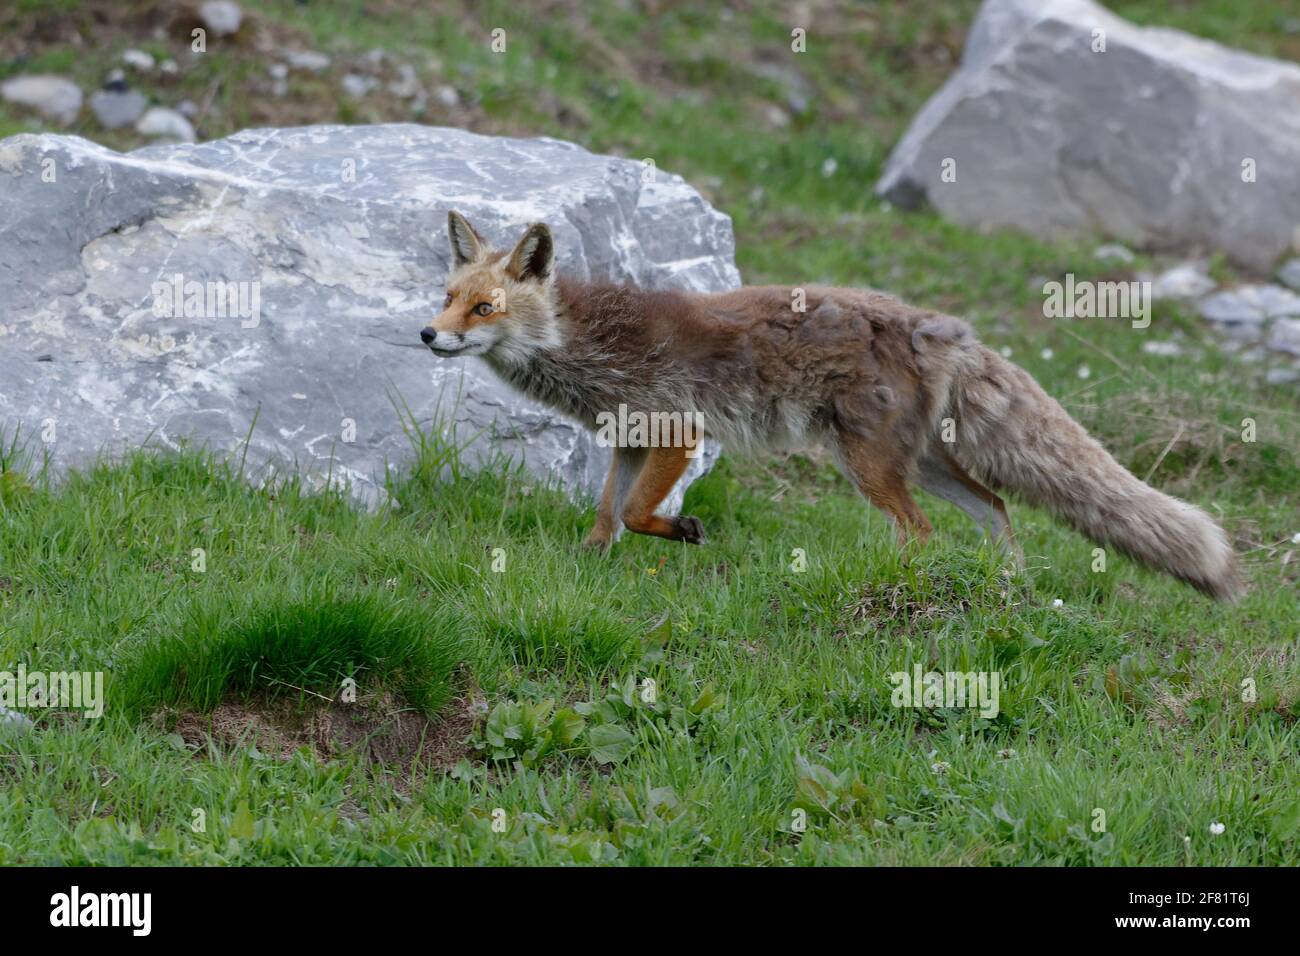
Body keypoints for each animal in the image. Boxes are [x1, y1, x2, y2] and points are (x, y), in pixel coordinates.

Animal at [420, 211, 1242, 600]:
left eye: (485, 308)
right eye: (448, 297)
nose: (427, 334)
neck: (586, 341)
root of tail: (934, 323)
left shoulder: (678, 432)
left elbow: (637, 513)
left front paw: (684, 530)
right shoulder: (627, 440)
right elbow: (604, 516)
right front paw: (590, 565)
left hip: (869, 467)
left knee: (922, 533)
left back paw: (908, 586)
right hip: (923, 464)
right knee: (996, 508)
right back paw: (1010, 587)